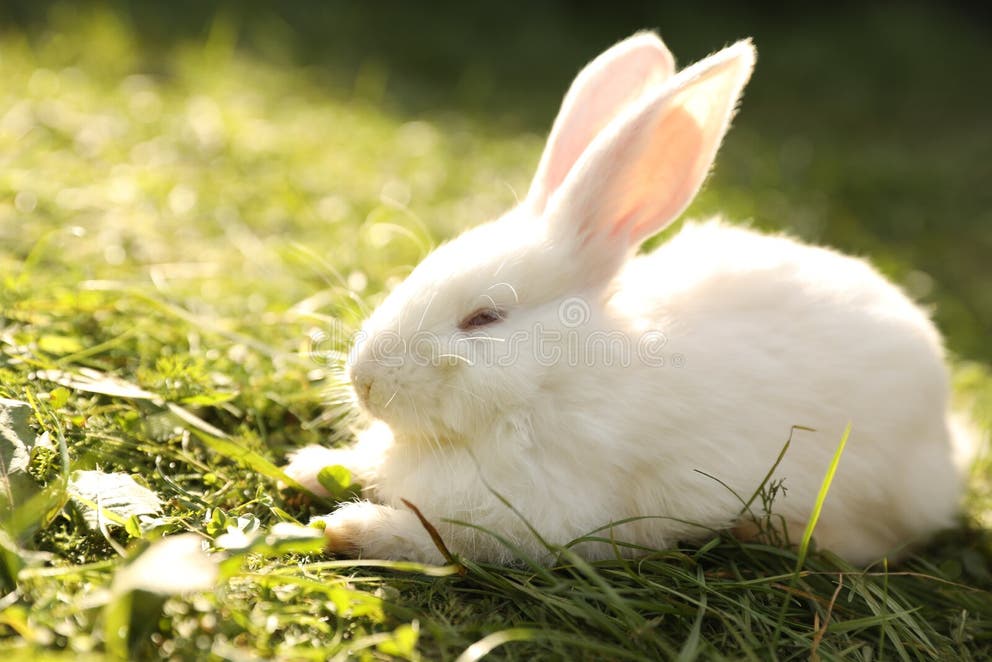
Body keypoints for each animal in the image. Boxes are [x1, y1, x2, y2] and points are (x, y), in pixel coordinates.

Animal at [282, 32, 969, 566]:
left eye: (483, 318)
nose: (364, 381)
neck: (556, 378)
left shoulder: (536, 516)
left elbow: (439, 538)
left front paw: (346, 529)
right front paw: (308, 467)